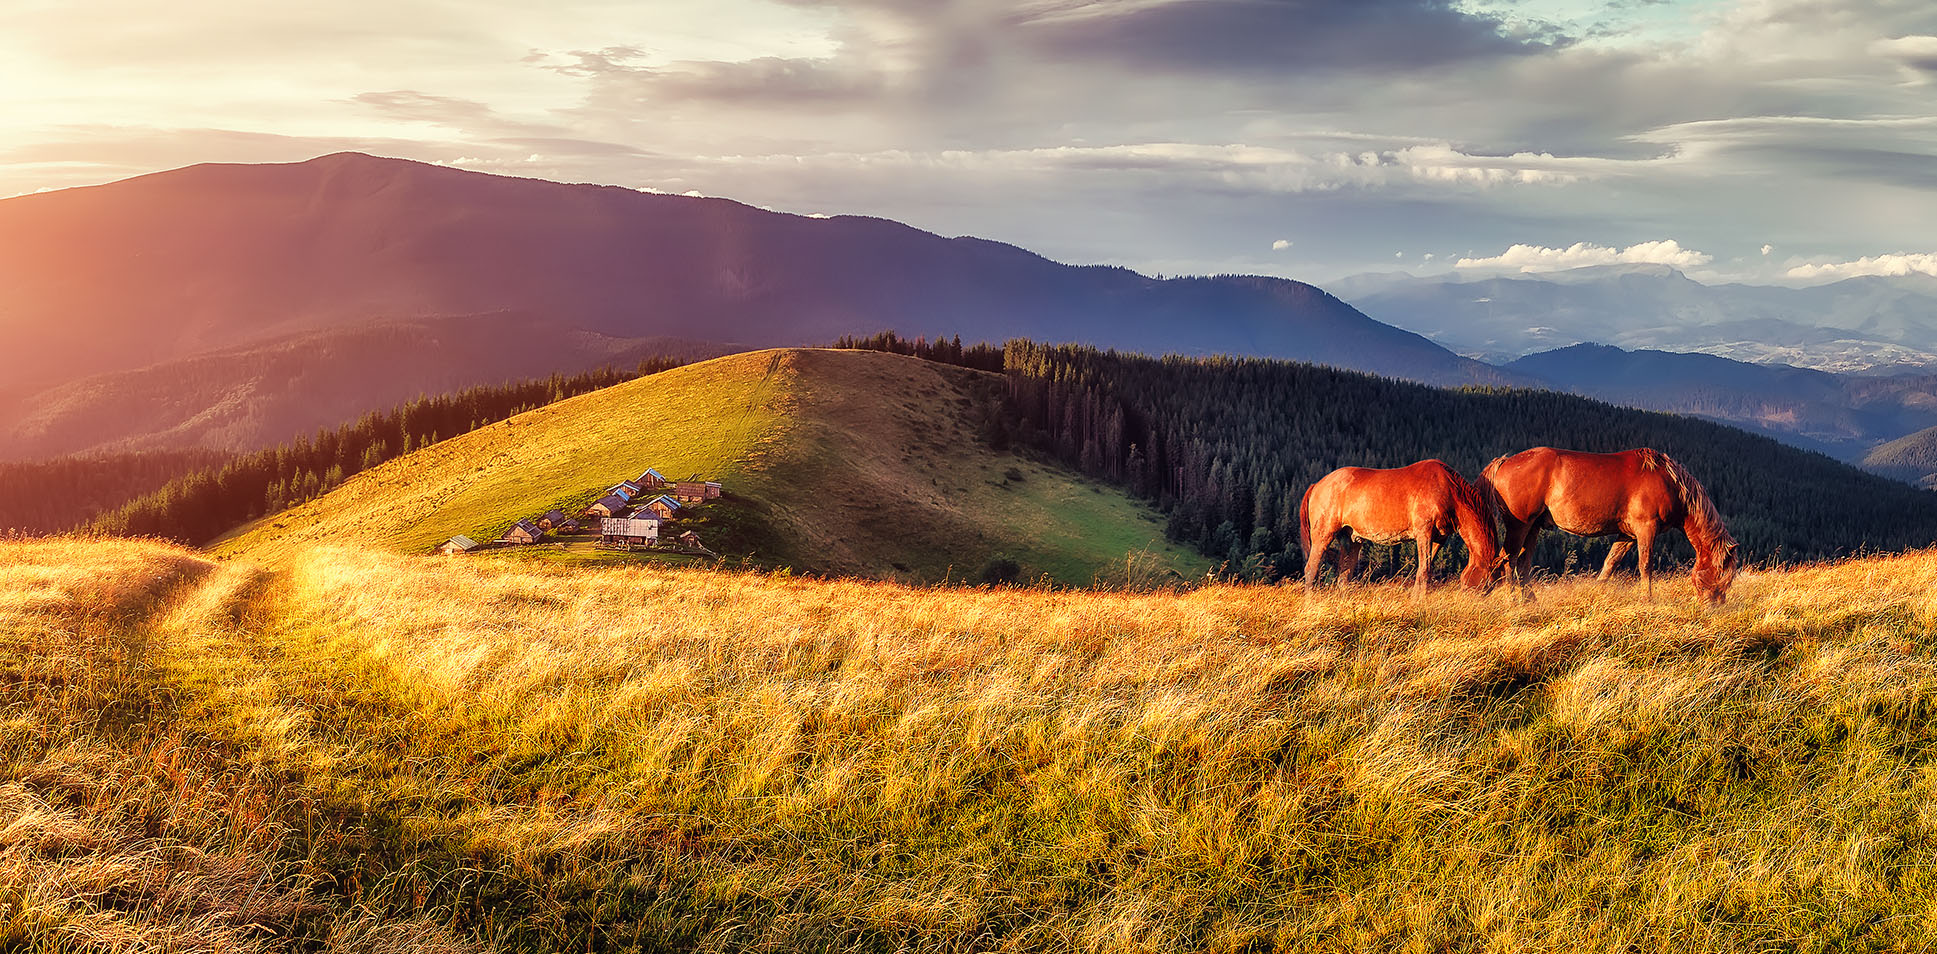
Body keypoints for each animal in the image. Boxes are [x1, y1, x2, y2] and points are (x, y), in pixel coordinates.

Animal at [1299, 459, 1506, 595]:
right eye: (1488, 584)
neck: (1448, 490)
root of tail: (1317, 485)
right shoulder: (1424, 534)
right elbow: (1424, 572)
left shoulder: (1438, 538)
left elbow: (1425, 570)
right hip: (1323, 535)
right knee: (1311, 569)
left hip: (1351, 540)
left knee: (1344, 575)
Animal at [1479, 447, 1739, 605]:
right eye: (1721, 575)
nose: (1715, 605)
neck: (1670, 483)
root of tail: (1505, 462)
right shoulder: (1646, 529)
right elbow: (1645, 565)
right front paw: (1647, 599)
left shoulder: (1627, 535)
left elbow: (1609, 565)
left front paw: (1595, 592)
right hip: (1518, 526)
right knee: (1507, 560)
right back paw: (1512, 600)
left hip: (1533, 527)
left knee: (1522, 562)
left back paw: (1529, 600)